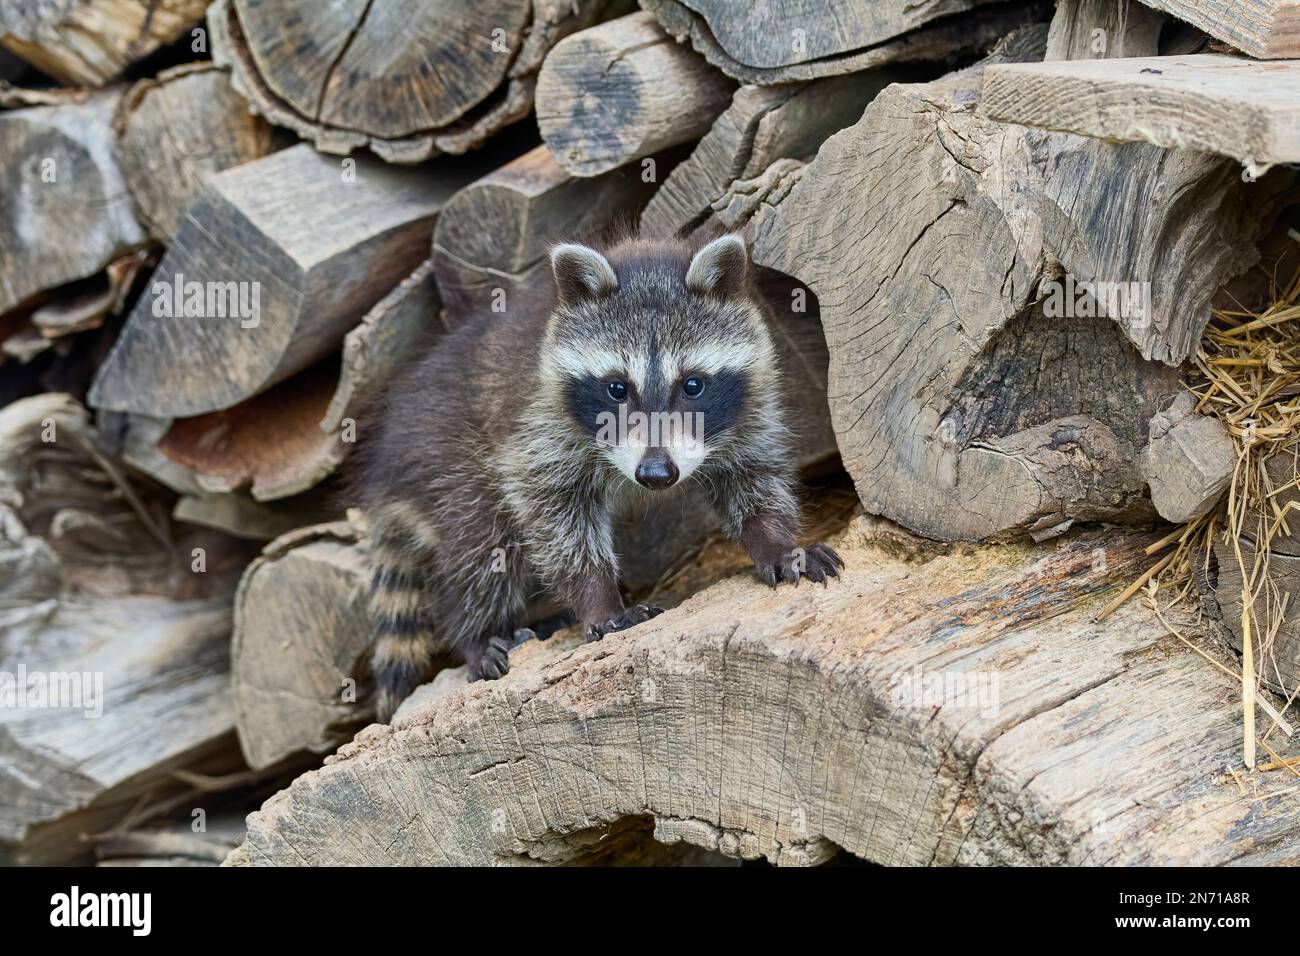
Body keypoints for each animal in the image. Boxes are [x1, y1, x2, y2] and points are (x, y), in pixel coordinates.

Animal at [358, 233, 843, 720]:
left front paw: (775, 542)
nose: (655, 473)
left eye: (692, 385)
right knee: (483, 543)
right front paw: (599, 599)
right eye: (616, 387)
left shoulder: (749, 406)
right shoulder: (537, 425)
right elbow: (556, 517)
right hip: (452, 459)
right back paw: (475, 632)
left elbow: (753, 477)